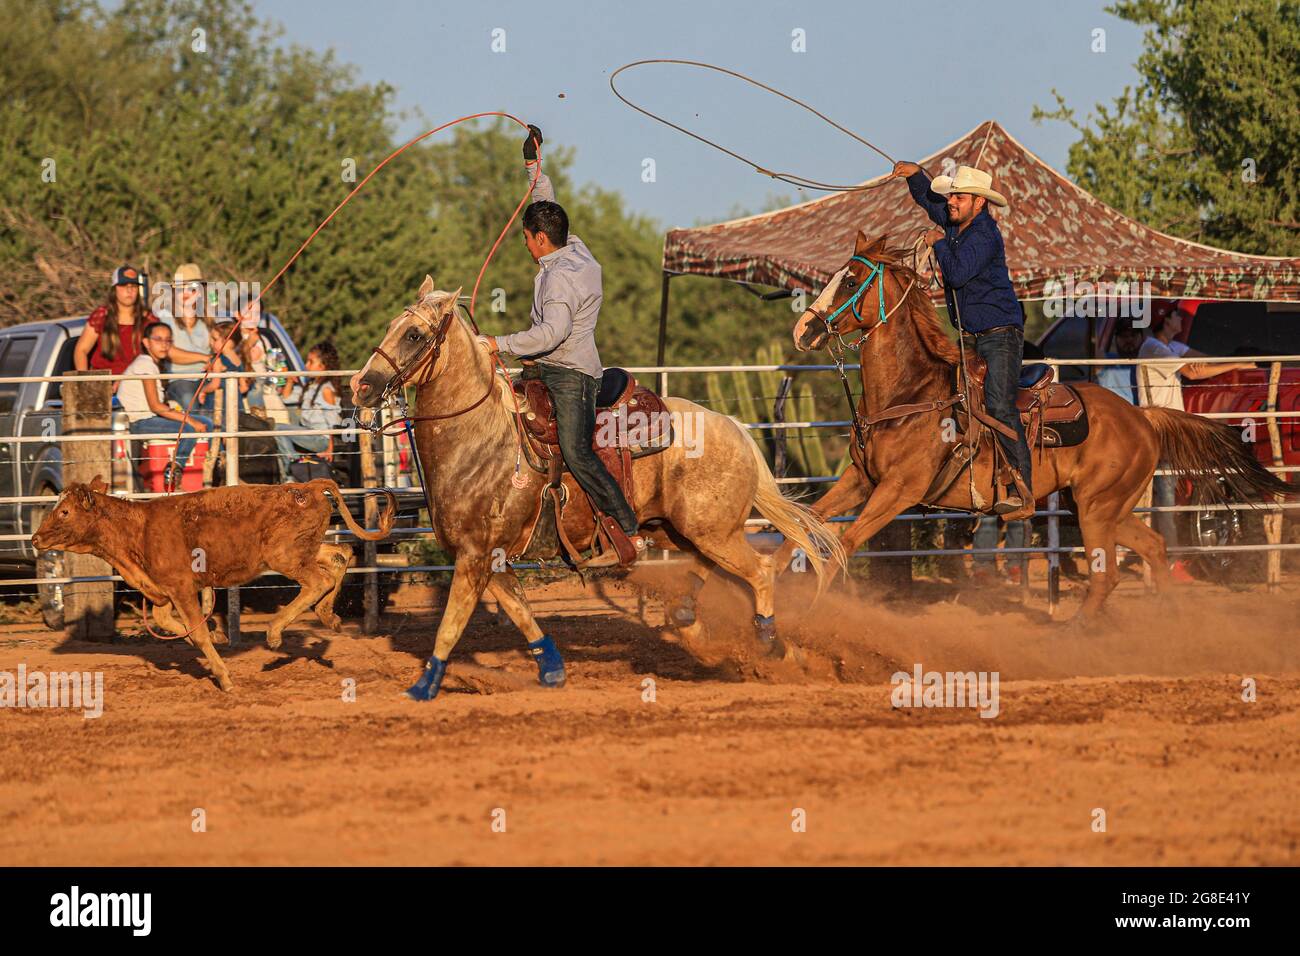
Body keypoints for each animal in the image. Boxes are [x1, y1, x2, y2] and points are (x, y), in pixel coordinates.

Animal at [351, 276, 845, 700]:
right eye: (391, 326)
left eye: (414, 335)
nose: (362, 385)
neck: (483, 436)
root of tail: (734, 427)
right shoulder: (489, 556)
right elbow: (521, 612)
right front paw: (552, 670)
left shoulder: (475, 554)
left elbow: (450, 625)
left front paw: (423, 687)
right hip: (682, 530)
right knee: (715, 569)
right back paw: (694, 618)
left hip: (711, 531)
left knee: (759, 571)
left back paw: (769, 641)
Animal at [788, 230, 1292, 620]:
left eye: (849, 280)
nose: (802, 331)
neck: (911, 394)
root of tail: (1142, 416)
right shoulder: (862, 480)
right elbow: (806, 524)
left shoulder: (899, 491)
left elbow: (843, 544)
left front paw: (804, 617)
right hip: (1100, 505)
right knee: (1153, 546)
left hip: (1096, 508)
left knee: (1108, 573)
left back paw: (1076, 631)